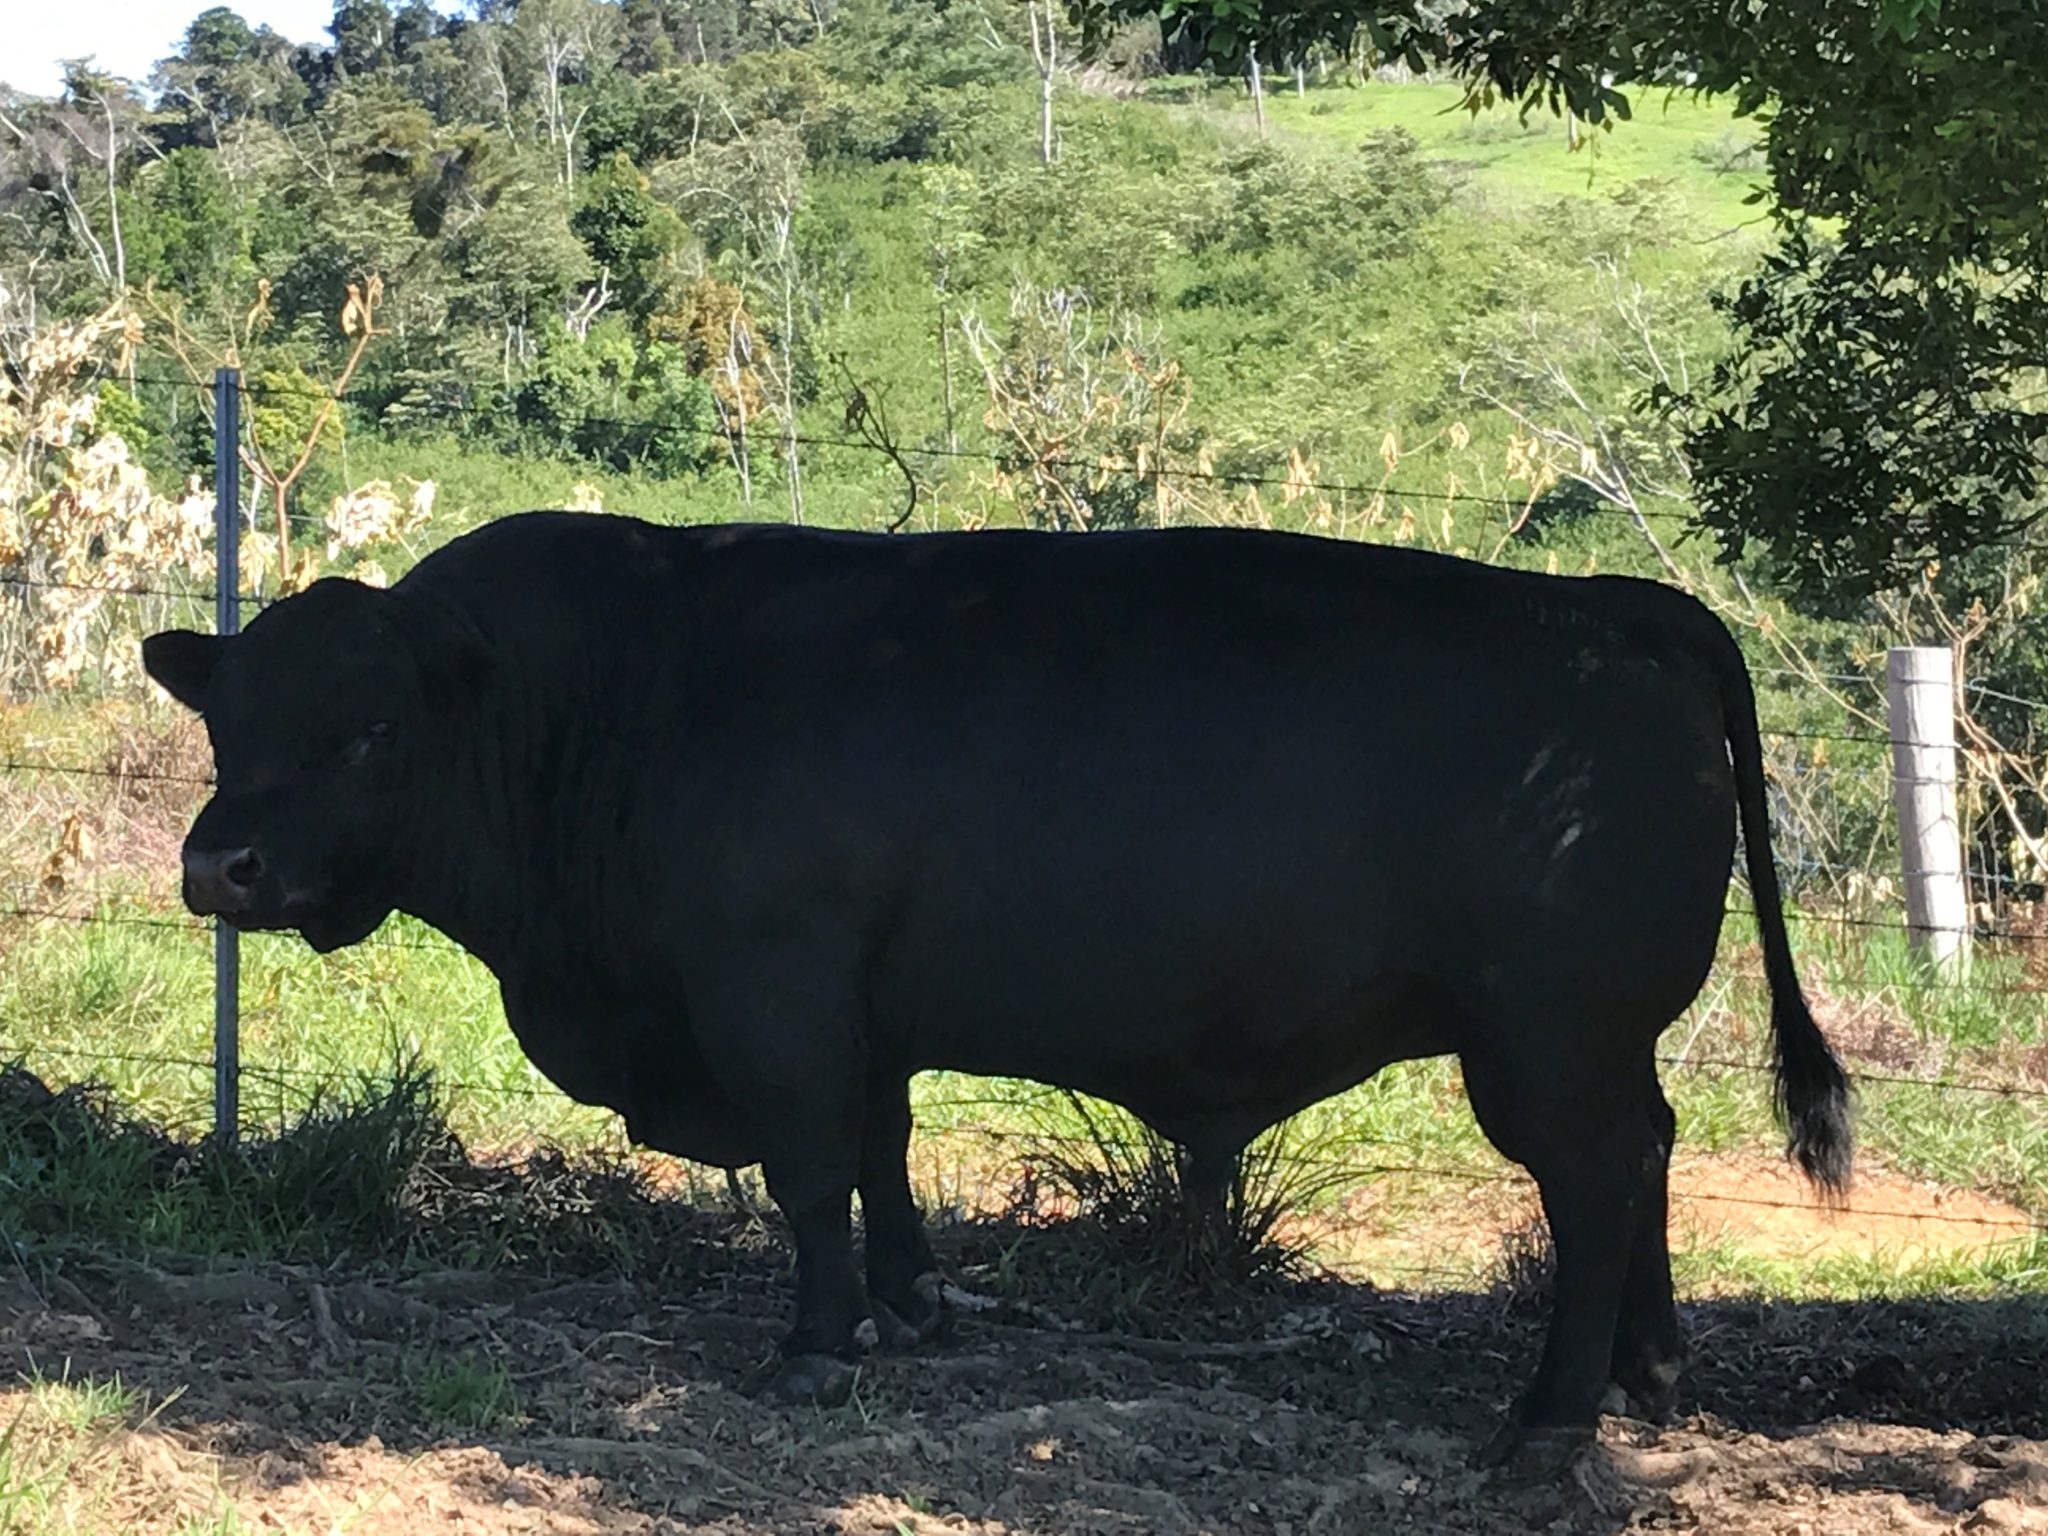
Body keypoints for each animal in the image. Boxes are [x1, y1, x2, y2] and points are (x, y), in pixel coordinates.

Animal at [143, 512, 1849, 1464]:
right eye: (227, 724)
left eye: (370, 732)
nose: (222, 866)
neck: (620, 693)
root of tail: (1612, 605)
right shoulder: (867, 1013)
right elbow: (883, 1157)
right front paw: (910, 1306)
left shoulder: (773, 991)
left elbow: (810, 1168)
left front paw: (818, 1342)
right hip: (1600, 1041)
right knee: (1649, 1156)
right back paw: (1648, 1371)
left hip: (1543, 1041)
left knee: (1598, 1179)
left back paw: (1555, 1421)